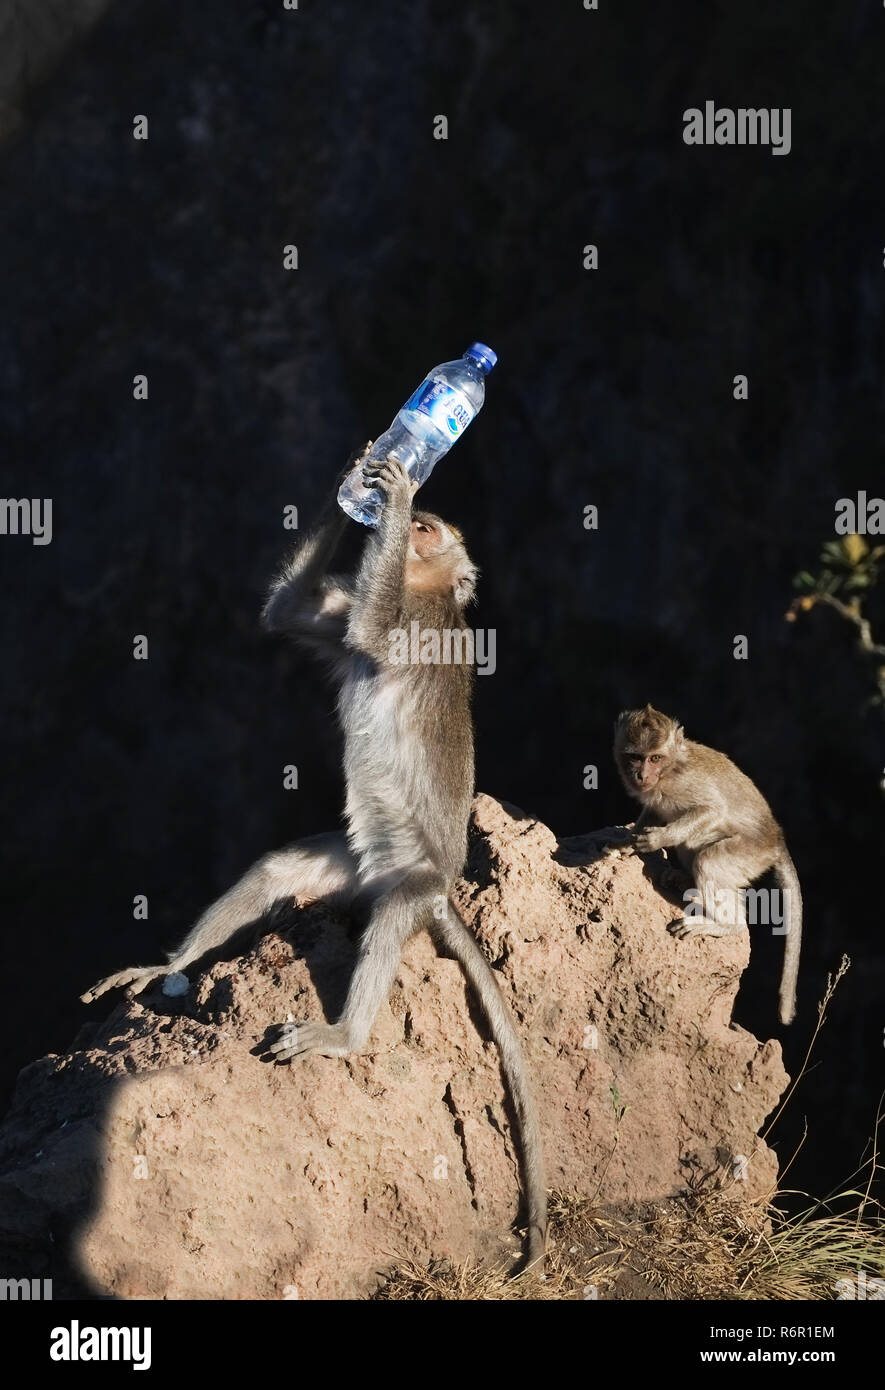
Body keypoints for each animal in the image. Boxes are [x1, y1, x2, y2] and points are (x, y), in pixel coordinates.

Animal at [82, 449, 547, 1267]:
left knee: (389, 922)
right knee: (281, 872)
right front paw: (351, 487)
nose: (410, 526)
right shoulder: (341, 616)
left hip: (410, 881)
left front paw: (389, 490)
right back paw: (169, 966)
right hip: (357, 867)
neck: (425, 589)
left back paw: (343, 1038)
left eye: (429, 530)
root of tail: (440, 887)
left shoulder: (413, 626)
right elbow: (288, 614)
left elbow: (370, 623)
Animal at [613, 704, 802, 1026]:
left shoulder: (684, 785)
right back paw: (684, 879)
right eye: (635, 756)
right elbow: (653, 812)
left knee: (708, 859)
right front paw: (626, 843)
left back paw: (724, 924)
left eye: (655, 758)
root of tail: (777, 840)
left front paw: (659, 838)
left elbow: (713, 810)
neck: (668, 773)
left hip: (752, 853)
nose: (641, 775)